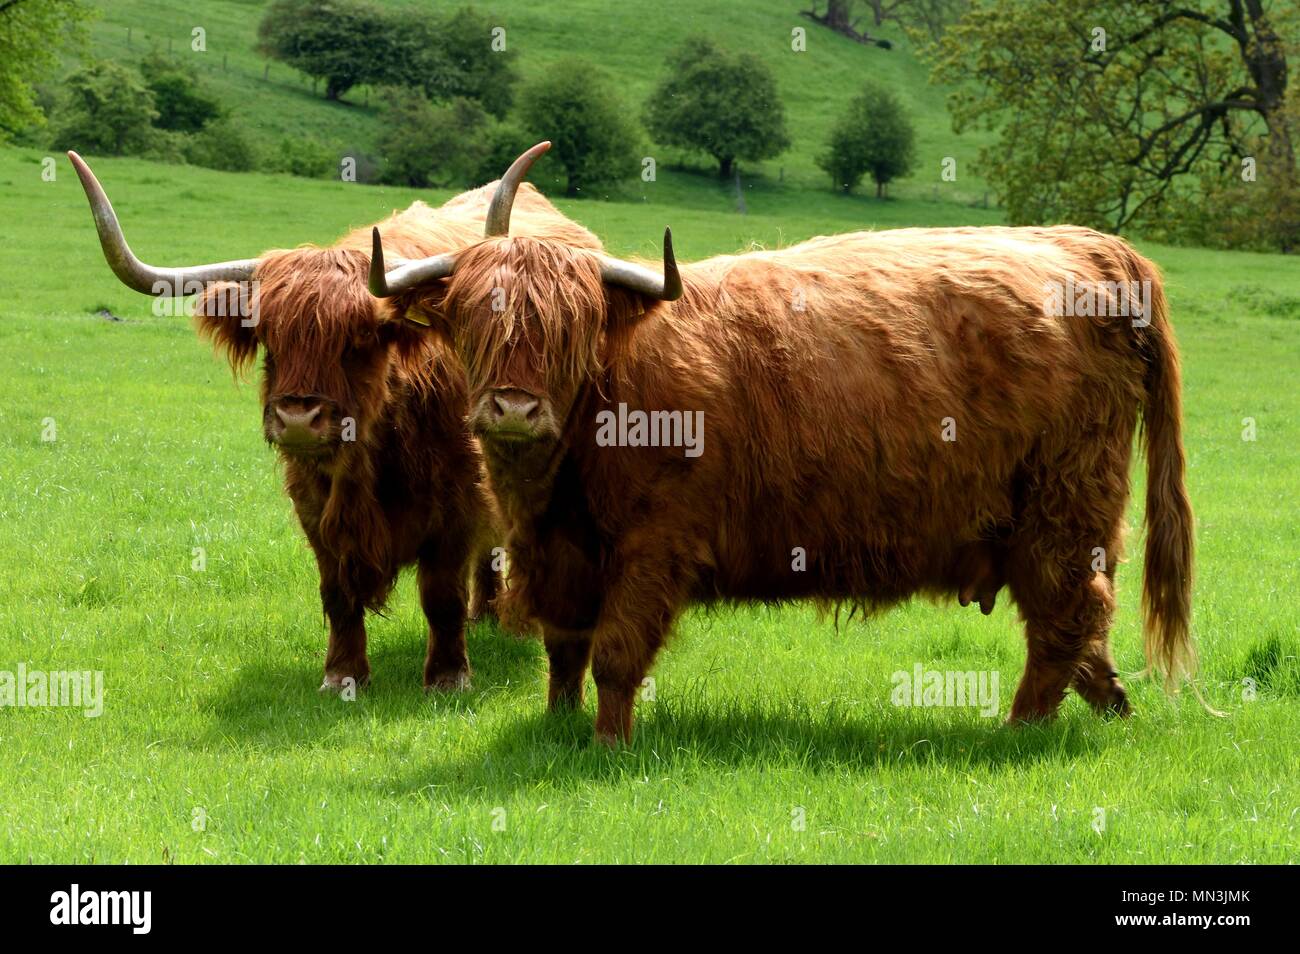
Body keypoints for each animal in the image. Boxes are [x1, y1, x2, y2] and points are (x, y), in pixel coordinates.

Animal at [68, 150, 600, 693]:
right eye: (270, 339)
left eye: (358, 339)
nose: (298, 418)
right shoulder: (312, 507)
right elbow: (338, 594)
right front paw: (343, 675)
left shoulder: (458, 501)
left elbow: (441, 595)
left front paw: (448, 677)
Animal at [369, 143, 1199, 744]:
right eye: (472, 318)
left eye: (569, 329)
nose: (513, 406)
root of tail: (1089, 247)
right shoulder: (565, 554)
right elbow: (566, 649)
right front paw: (556, 727)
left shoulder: (655, 545)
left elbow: (615, 653)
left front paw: (607, 745)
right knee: (1078, 621)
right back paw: (1108, 701)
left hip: (1062, 502)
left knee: (1065, 615)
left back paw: (1019, 729)